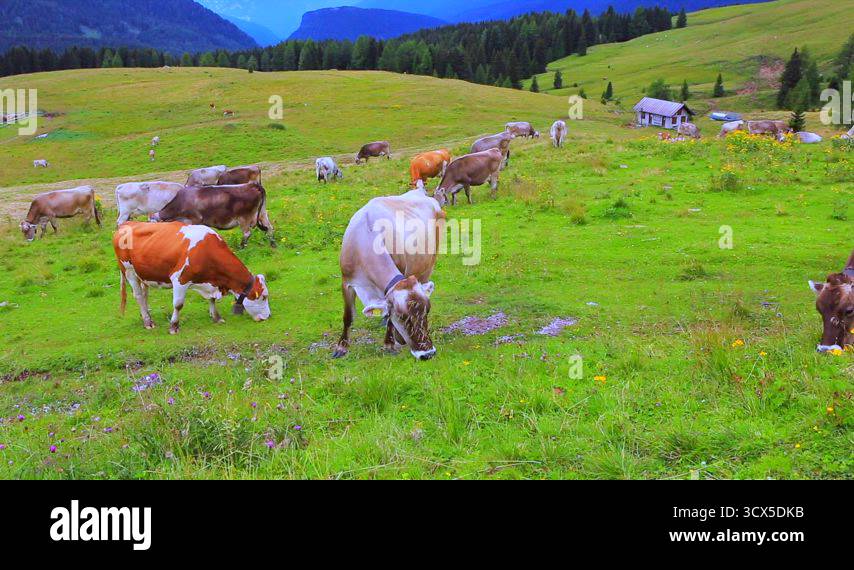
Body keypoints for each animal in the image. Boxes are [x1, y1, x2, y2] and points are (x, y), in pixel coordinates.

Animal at [113, 222, 270, 334]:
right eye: (264, 297)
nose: (268, 316)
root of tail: (125, 224)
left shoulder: (210, 282)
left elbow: (212, 299)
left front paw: (217, 317)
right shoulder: (179, 279)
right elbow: (178, 304)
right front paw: (174, 326)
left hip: (143, 274)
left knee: (145, 295)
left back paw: (146, 316)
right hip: (129, 271)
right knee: (139, 296)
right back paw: (148, 322)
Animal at [333, 187, 444, 360]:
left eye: (427, 310)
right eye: (402, 316)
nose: (428, 353)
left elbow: (390, 322)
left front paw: (389, 344)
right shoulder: (347, 281)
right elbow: (348, 316)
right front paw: (341, 348)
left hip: (429, 265)